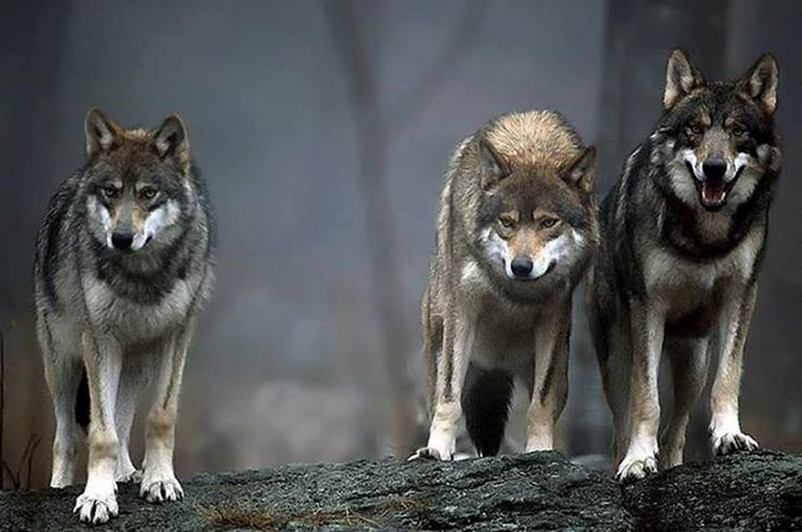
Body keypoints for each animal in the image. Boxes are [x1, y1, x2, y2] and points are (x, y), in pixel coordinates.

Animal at [34, 109, 214, 523]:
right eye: (111, 192)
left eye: (149, 193)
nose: (120, 238)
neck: (141, 275)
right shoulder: (99, 340)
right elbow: (101, 435)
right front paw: (97, 497)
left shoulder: (177, 335)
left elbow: (158, 418)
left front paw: (158, 480)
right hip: (63, 363)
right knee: (65, 438)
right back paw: (63, 486)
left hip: (136, 363)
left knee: (121, 416)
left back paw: (126, 473)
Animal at [410, 110, 599, 460]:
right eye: (507, 222)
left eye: (548, 222)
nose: (521, 266)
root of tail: (497, 366)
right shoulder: (462, 309)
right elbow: (449, 399)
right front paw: (437, 449)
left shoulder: (554, 313)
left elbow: (539, 403)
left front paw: (539, 451)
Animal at [588, 50, 780, 481]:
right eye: (695, 129)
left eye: (737, 131)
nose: (714, 168)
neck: (704, 238)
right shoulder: (649, 308)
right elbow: (647, 399)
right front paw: (638, 459)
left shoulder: (741, 296)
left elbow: (728, 376)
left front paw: (730, 436)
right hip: (616, 359)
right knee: (620, 428)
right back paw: (627, 458)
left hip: (693, 361)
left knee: (676, 431)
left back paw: (674, 465)